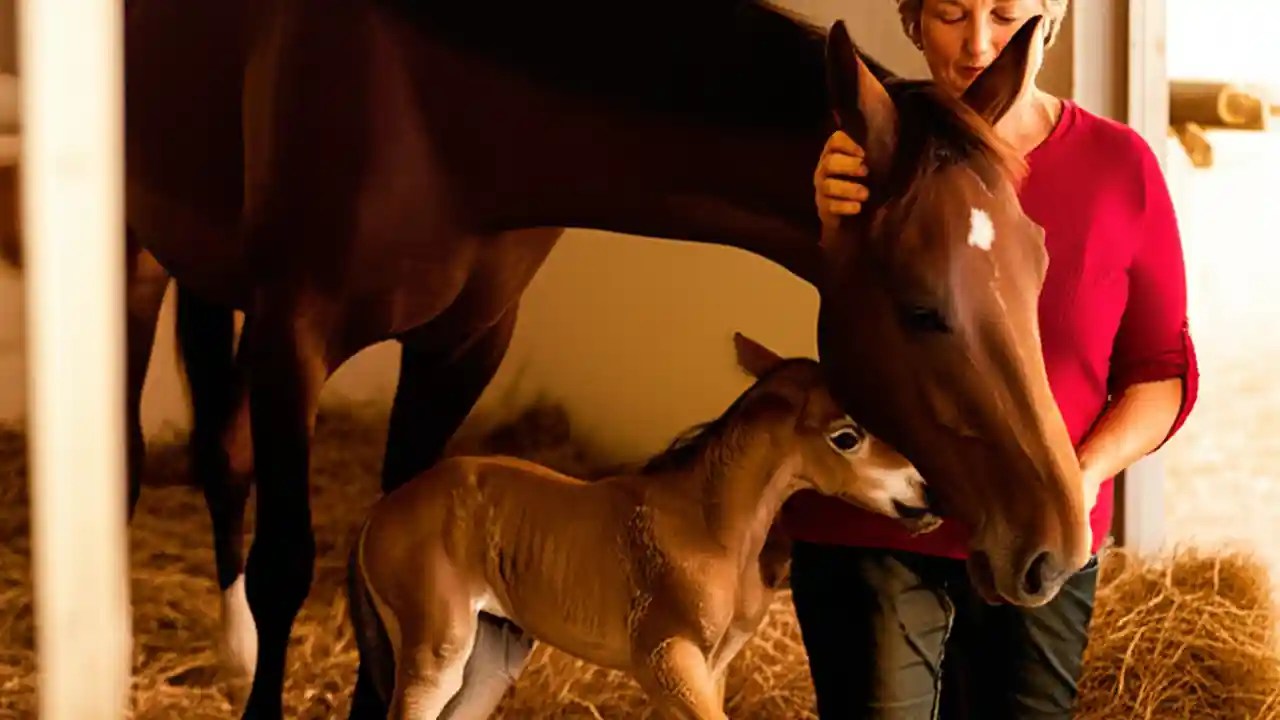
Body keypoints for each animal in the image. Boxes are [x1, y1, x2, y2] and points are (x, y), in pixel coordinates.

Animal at [347, 332, 938, 719]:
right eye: (847, 436)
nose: (926, 493)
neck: (711, 531)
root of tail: (381, 511)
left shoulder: (711, 669)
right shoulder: (666, 662)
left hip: (491, 654)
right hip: (437, 649)